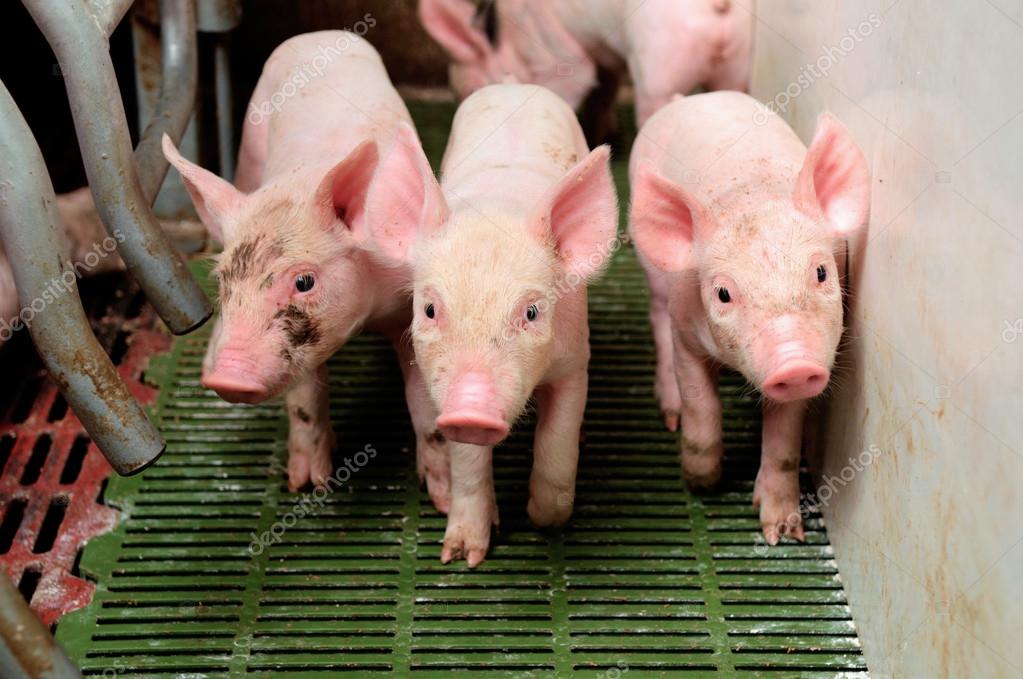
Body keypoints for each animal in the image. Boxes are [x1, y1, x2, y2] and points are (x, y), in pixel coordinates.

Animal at [159, 31, 452, 507]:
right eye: (222, 281)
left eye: (304, 281)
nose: (227, 378)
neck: (368, 313)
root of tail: (317, 36)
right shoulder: (298, 345)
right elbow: (305, 401)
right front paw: (308, 485)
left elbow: (423, 405)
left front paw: (441, 500)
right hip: (249, 151)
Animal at [384, 83, 619, 566]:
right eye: (430, 309)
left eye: (531, 312)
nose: (472, 407)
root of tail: (516, 84)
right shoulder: (444, 394)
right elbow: (467, 465)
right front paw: (460, 556)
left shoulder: (574, 363)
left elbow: (557, 447)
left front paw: (544, 520)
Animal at [418, 0, 752, 138]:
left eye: (472, 91)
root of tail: (719, 4)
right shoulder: (606, 57)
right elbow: (603, 90)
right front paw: (605, 135)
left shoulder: (551, 50)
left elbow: (574, 83)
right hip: (738, 62)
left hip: (660, 61)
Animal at [629, 92, 871, 544]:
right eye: (723, 293)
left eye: (821, 272)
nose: (794, 363)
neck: (752, 198)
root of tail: (689, 98)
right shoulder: (686, 334)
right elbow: (702, 411)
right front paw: (700, 483)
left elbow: (785, 441)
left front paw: (783, 534)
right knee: (656, 313)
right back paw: (670, 414)